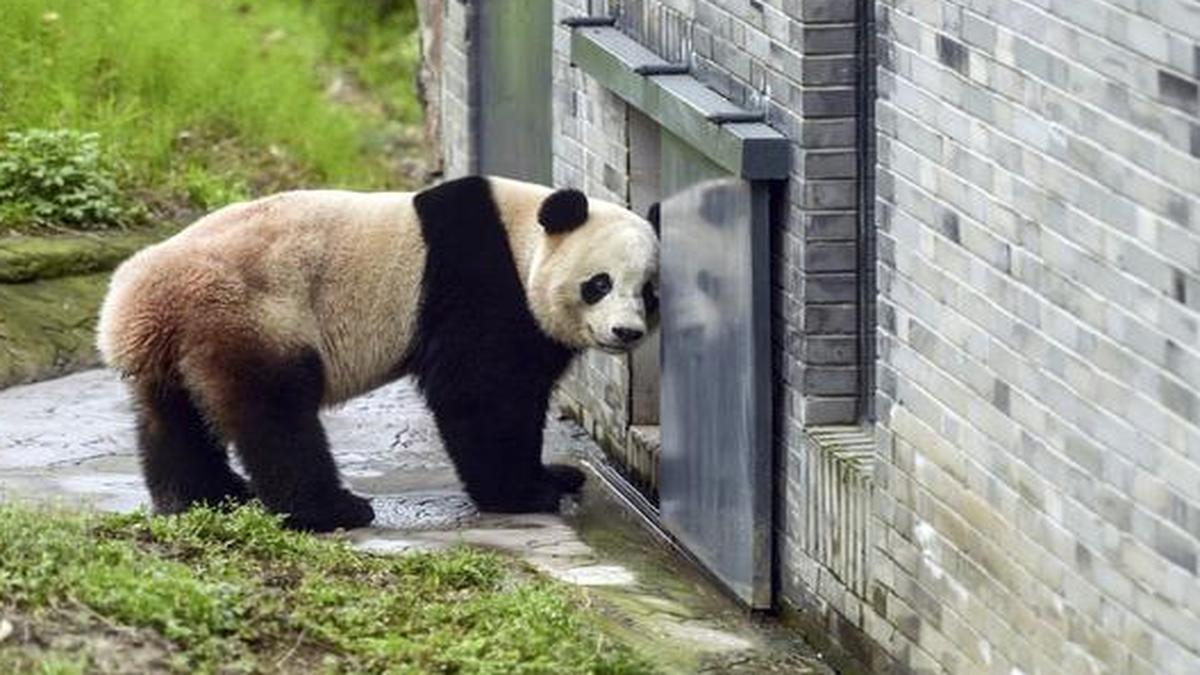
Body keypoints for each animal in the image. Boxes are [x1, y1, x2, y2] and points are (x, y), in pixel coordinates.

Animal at [96, 175, 660, 532]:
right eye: (599, 284)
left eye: (650, 291)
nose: (626, 332)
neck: (522, 237)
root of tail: (138, 302)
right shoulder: (476, 283)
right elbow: (479, 394)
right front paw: (527, 493)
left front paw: (556, 474)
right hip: (249, 315)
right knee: (274, 418)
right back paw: (330, 510)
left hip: (174, 348)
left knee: (172, 419)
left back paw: (205, 497)